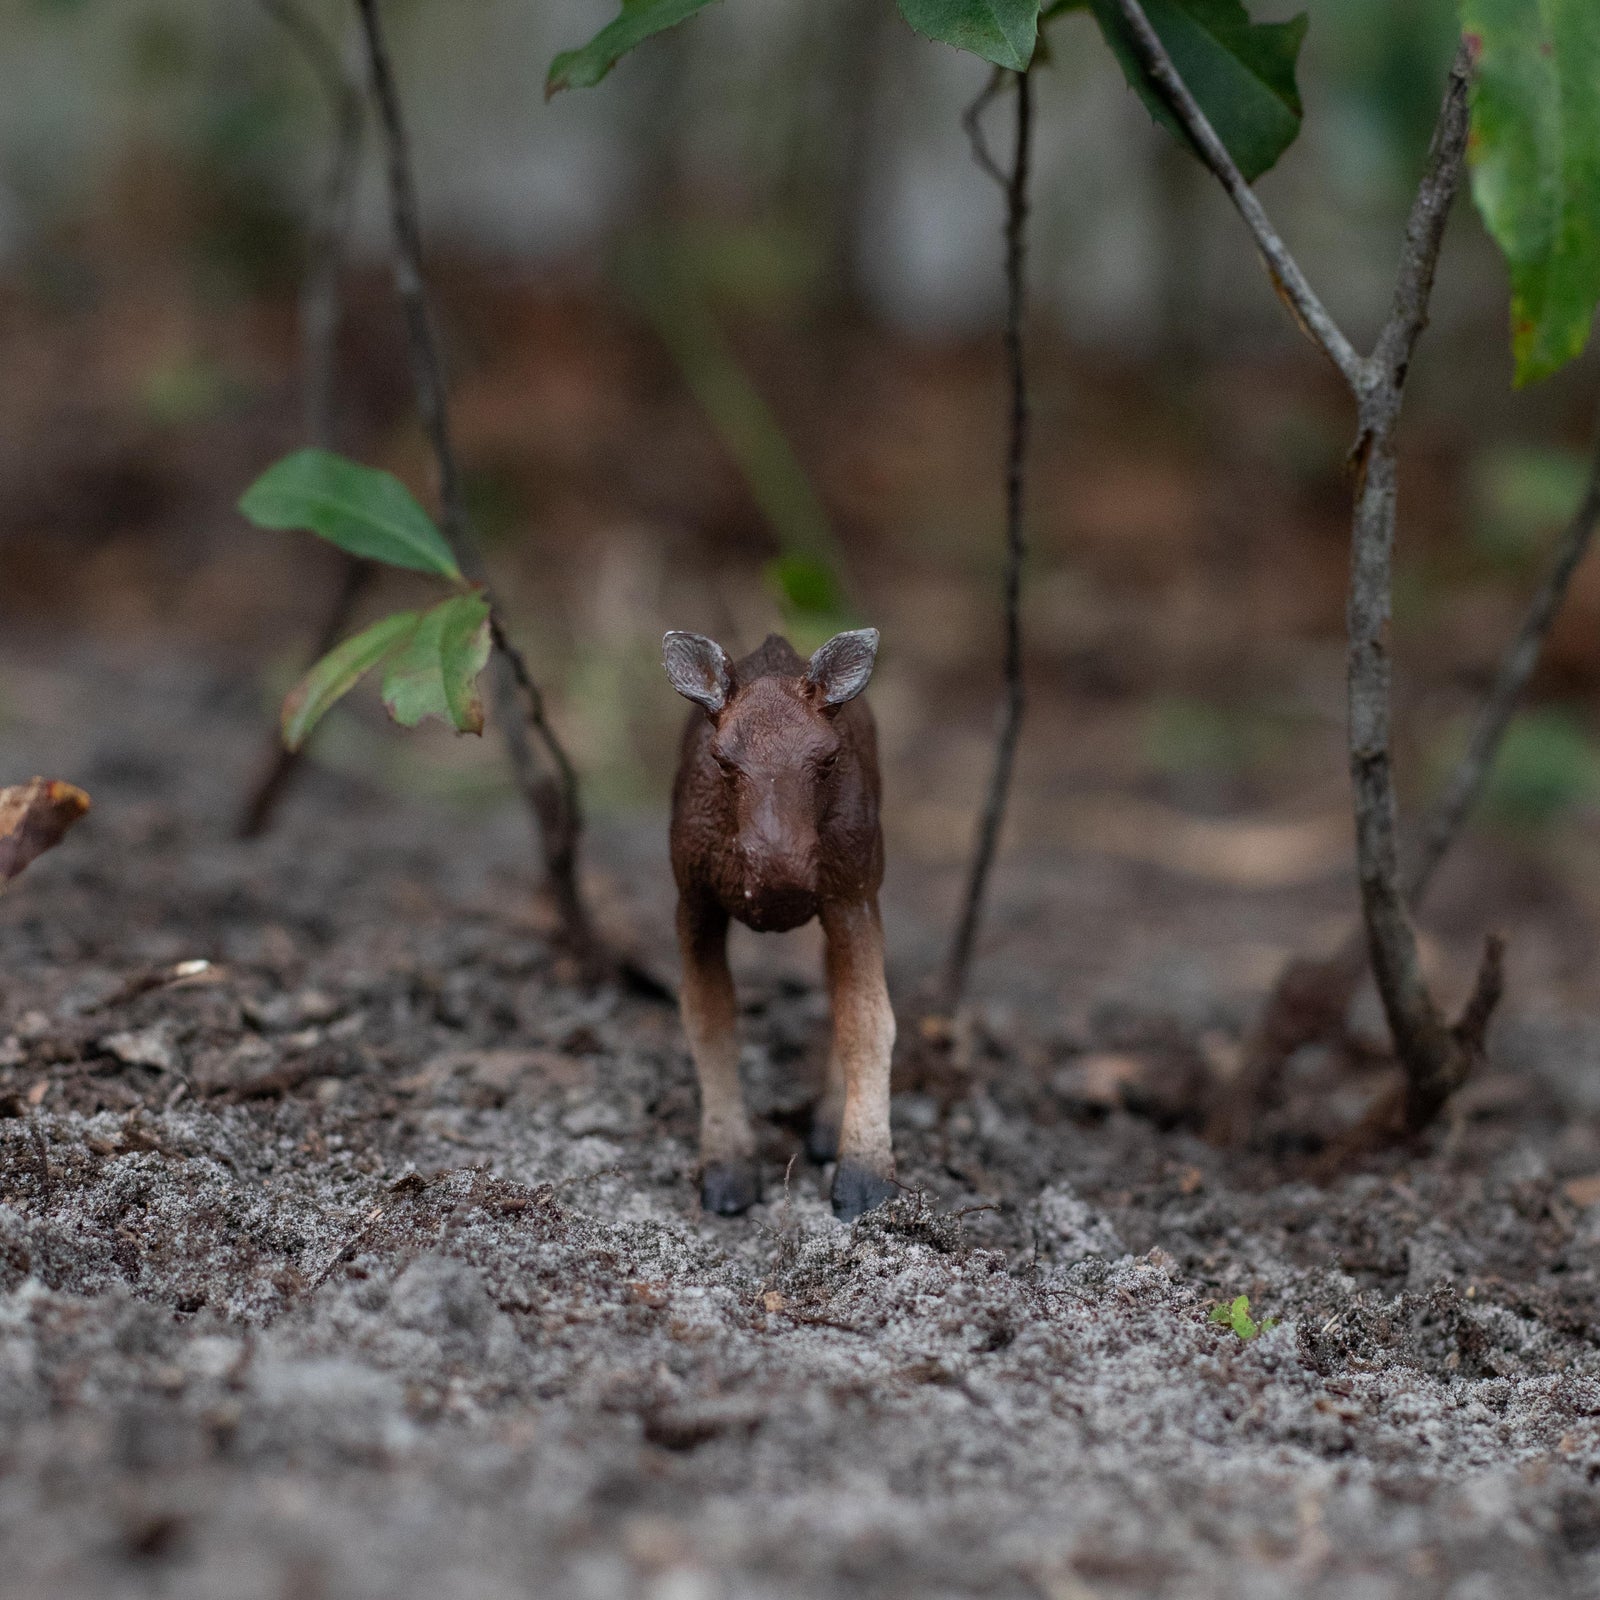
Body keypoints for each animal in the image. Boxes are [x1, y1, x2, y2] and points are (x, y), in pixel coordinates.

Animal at [663, 628, 897, 1221]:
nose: (780, 878)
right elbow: (709, 1021)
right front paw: (727, 1167)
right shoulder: (695, 900)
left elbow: (868, 1022)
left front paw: (866, 1179)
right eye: (723, 760)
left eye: (827, 758)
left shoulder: (852, 894)